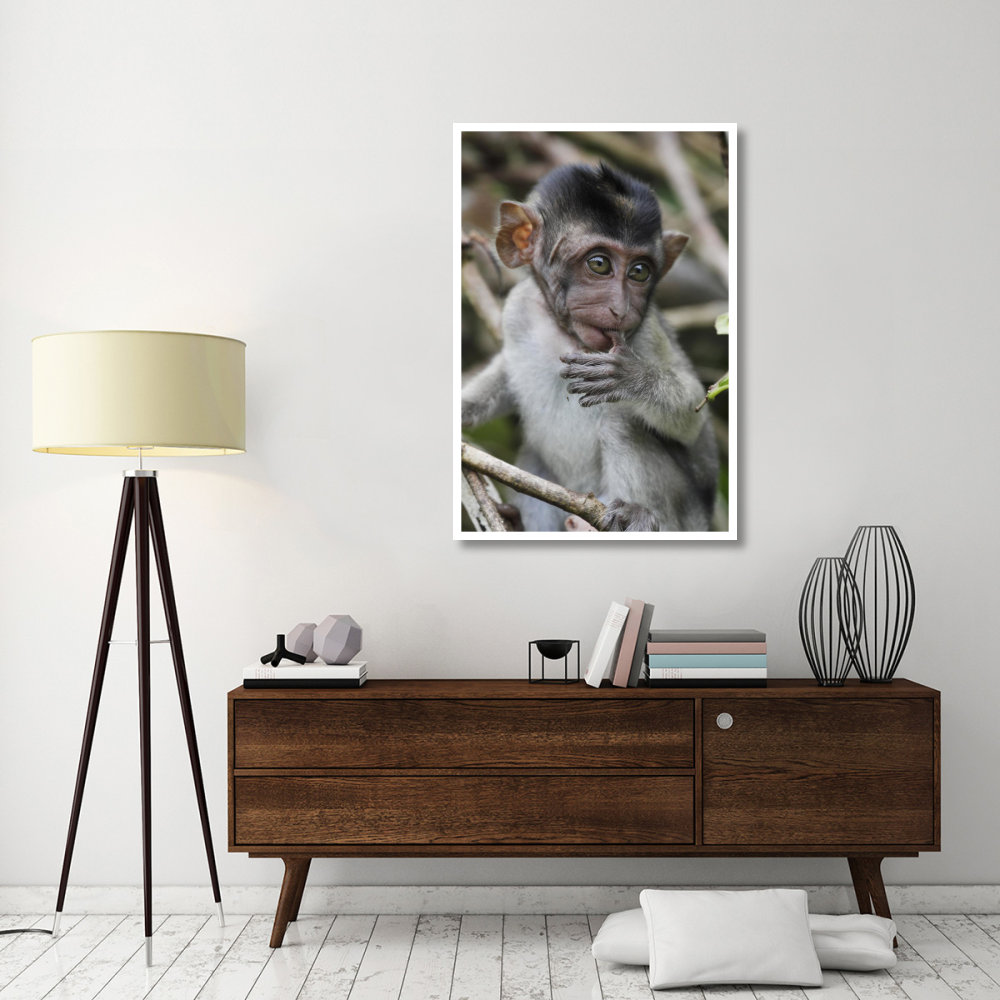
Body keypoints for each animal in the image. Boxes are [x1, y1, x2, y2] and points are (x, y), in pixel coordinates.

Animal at [461, 162, 719, 532]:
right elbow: (505, 377)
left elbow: (692, 418)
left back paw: (634, 516)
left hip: (688, 520)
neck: (568, 334)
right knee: (534, 454)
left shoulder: (647, 335)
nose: (621, 309)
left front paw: (631, 378)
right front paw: (460, 410)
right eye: (599, 264)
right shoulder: (518, 308)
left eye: (639, 271)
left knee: (621, 423)